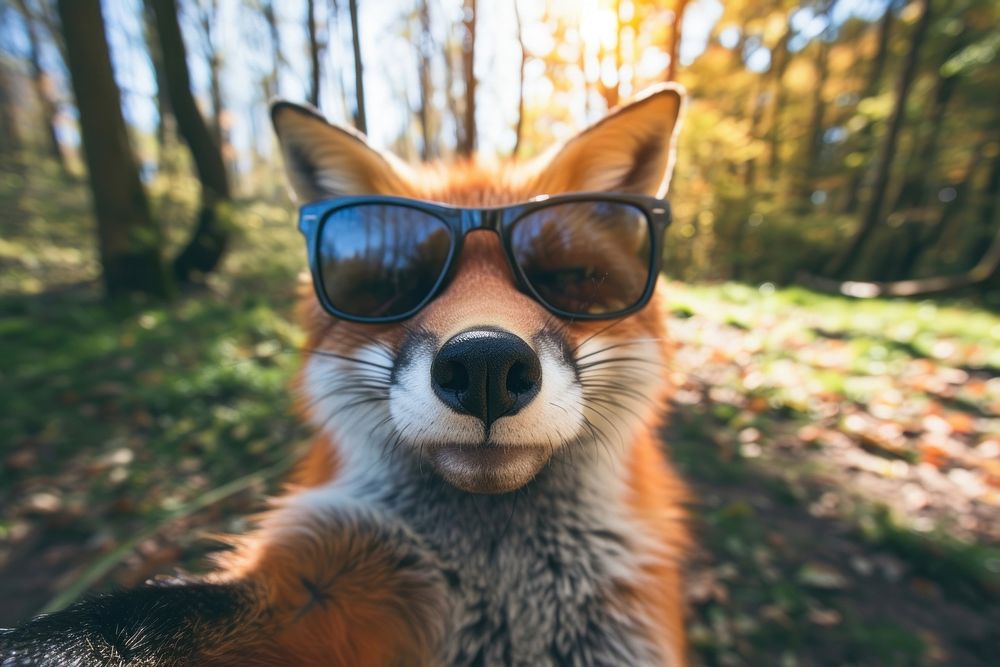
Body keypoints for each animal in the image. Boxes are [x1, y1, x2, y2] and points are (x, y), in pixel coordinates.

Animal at [2, 83, 690, 666]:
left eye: (567, 276)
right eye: (394, 281)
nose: (485, 364)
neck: (495, 571)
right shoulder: (319, 568)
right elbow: (134, 621)